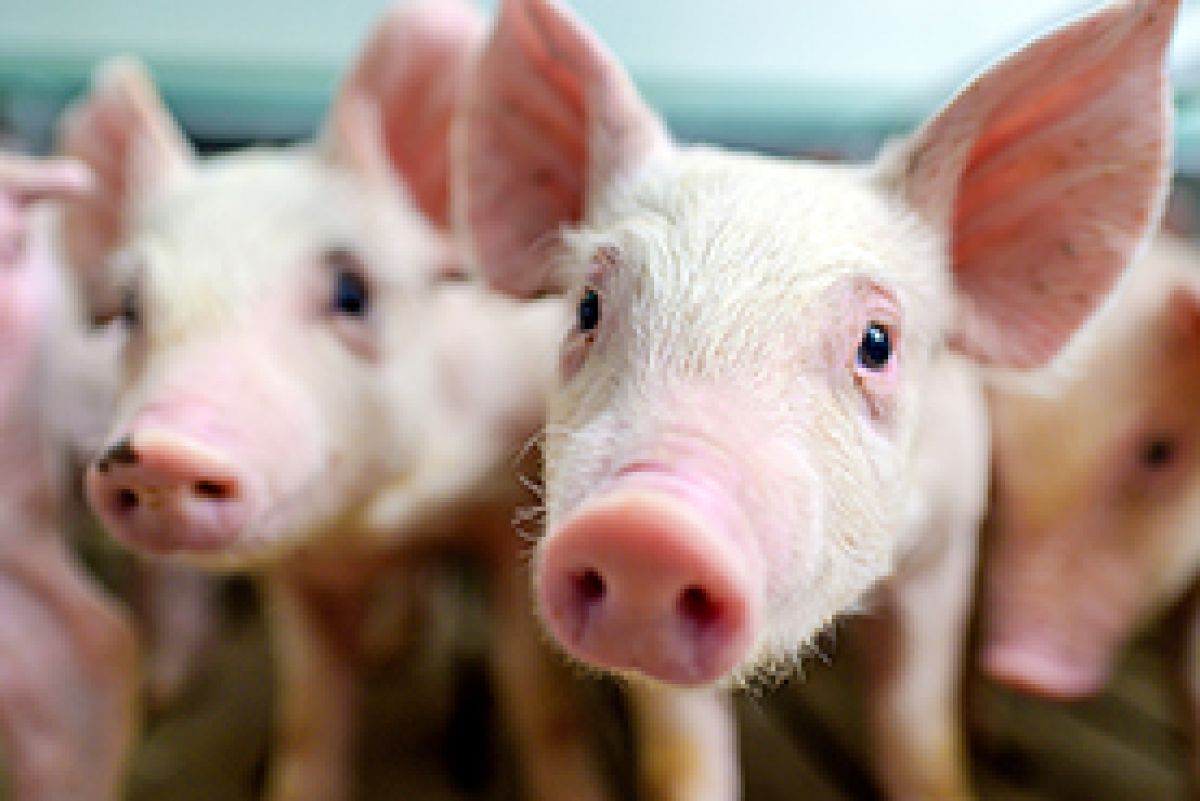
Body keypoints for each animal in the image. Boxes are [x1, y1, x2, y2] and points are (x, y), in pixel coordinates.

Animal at [56, 2, 735, 800]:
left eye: (353, 291)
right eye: (131, 309)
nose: (155, 451)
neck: (372, 522)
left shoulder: (503, 508)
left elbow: (532, 687)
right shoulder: (296, 571)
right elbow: (311, 704)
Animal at [455, 0, 1177, 797]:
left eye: (877, 343)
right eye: (587, 307)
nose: (643, 527)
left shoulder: (949, 542)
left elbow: (919, 730)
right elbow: (685, 756)